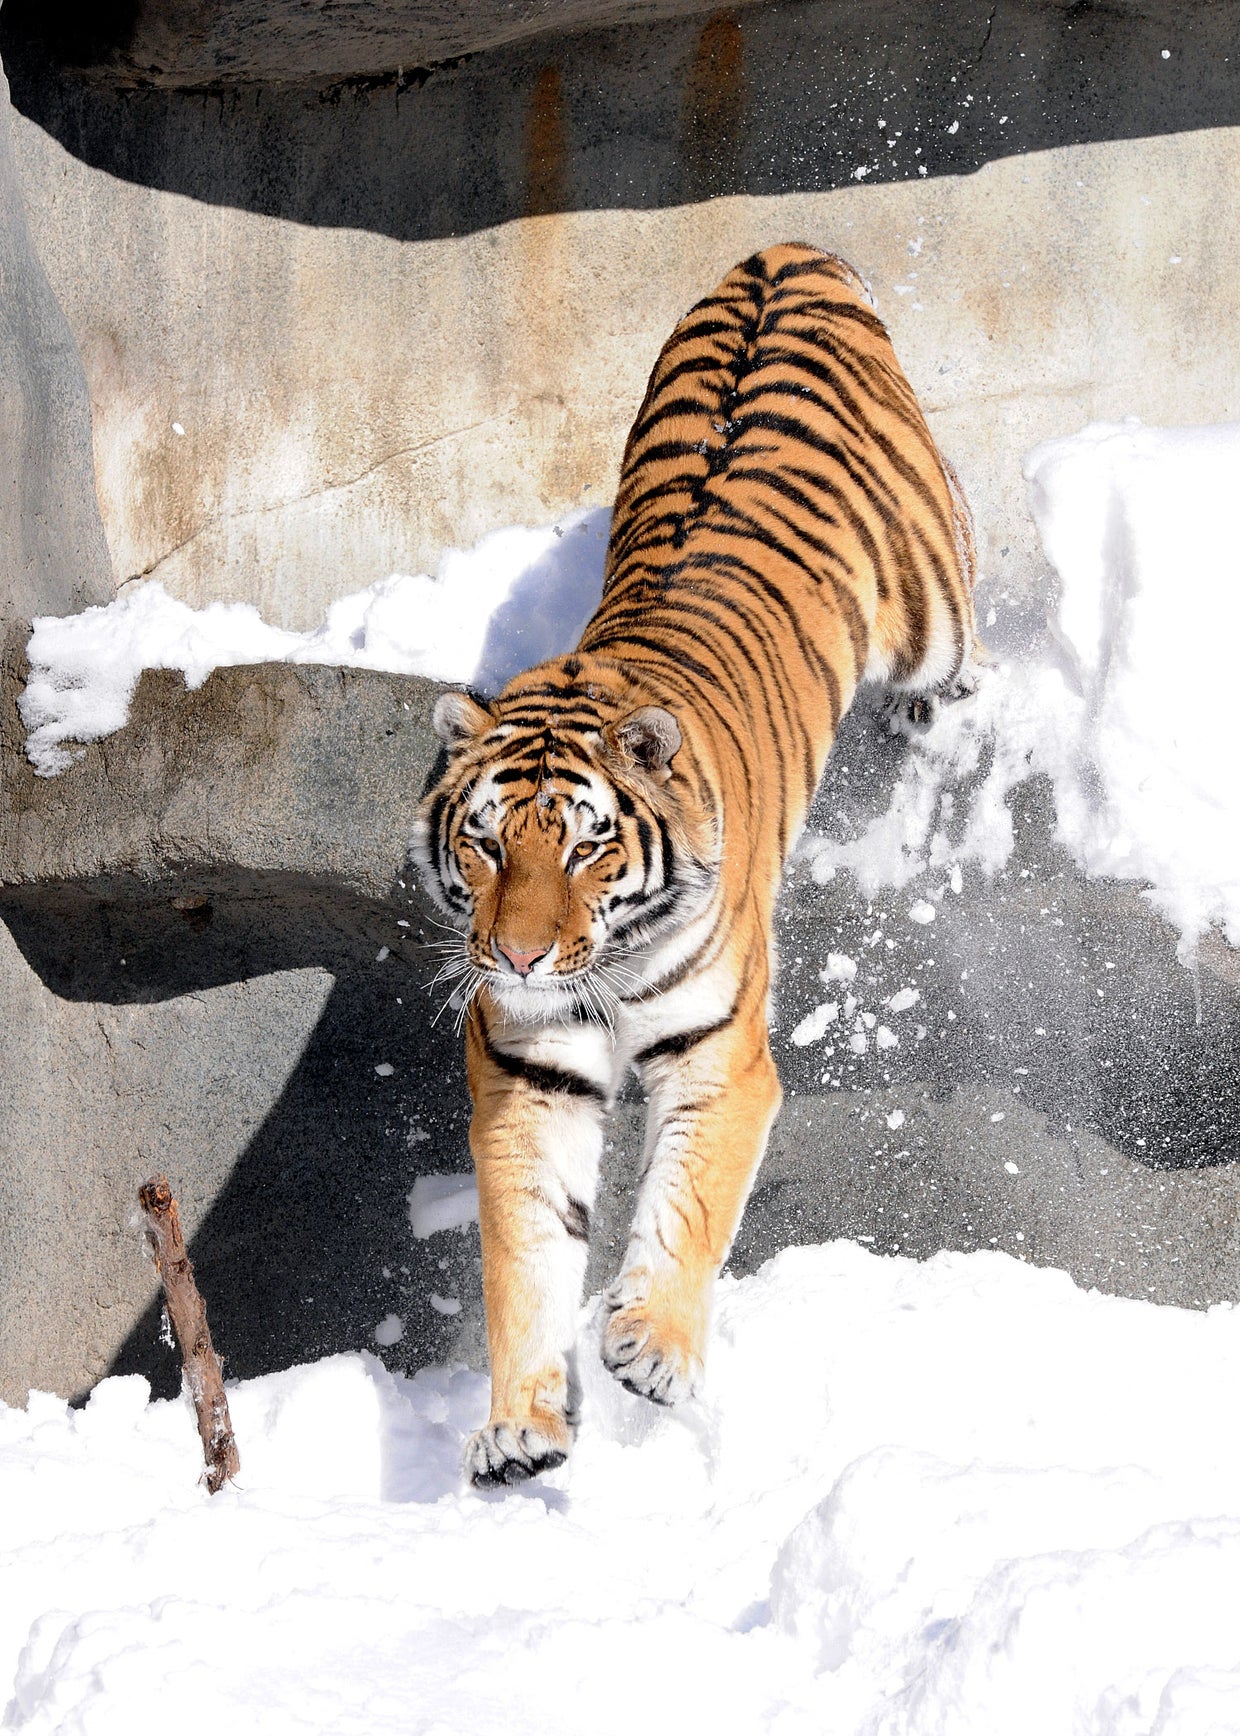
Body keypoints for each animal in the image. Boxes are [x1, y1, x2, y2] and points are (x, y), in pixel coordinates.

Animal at [412, 242, 976, 1487]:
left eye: (587, 843)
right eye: (484, 840)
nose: (516, 956)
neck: (604, 964)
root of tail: (785, 252)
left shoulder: (722, 1058)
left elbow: (686, 1205)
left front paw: (652, 1347)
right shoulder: (530, 1077)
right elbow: (526, 1255)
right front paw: (520, 1425)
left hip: (931, 597)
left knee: (965, 649)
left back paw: (938, 741)